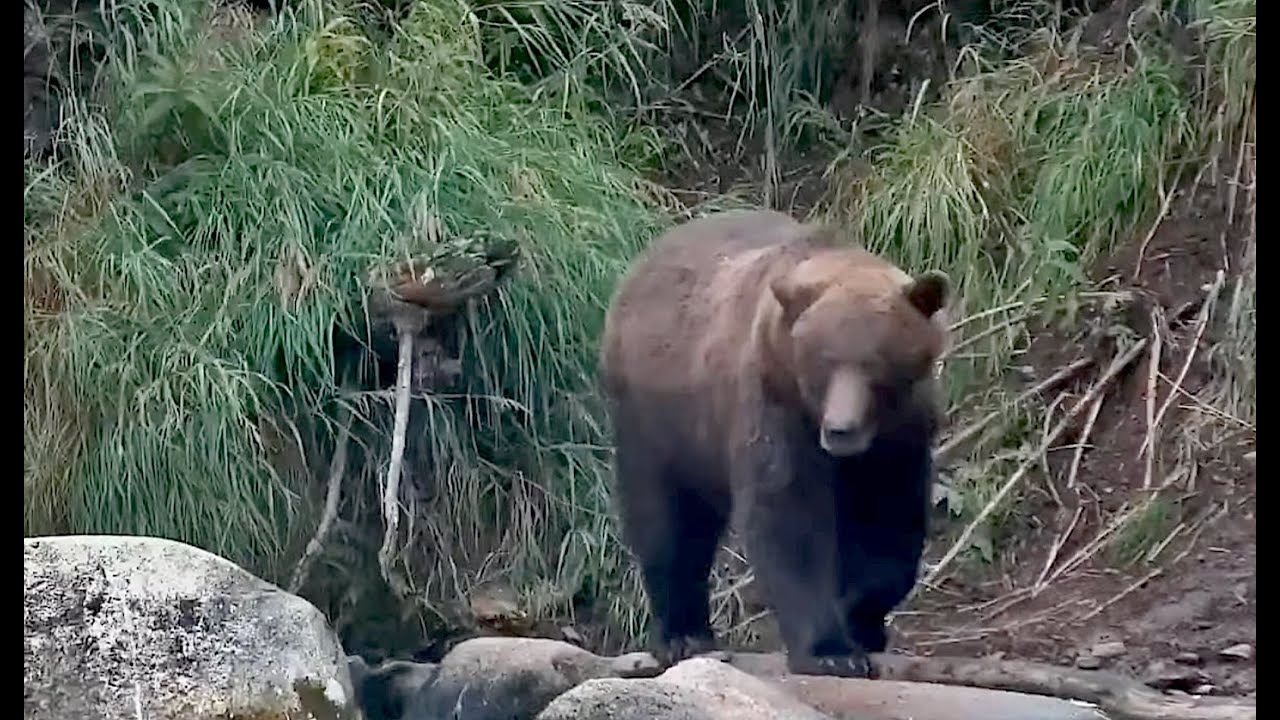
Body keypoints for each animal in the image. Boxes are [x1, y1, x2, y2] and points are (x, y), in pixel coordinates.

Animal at [598, 208, 951, 679]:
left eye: (877, 364)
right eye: (823, 362)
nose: (840, 429)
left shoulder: (900, 436)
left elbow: (889, 522)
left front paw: (861, 621)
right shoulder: (775, 403)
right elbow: (788, 514)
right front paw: (830, 650)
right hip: (659, 418)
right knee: (667, 520)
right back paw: (684, 633)